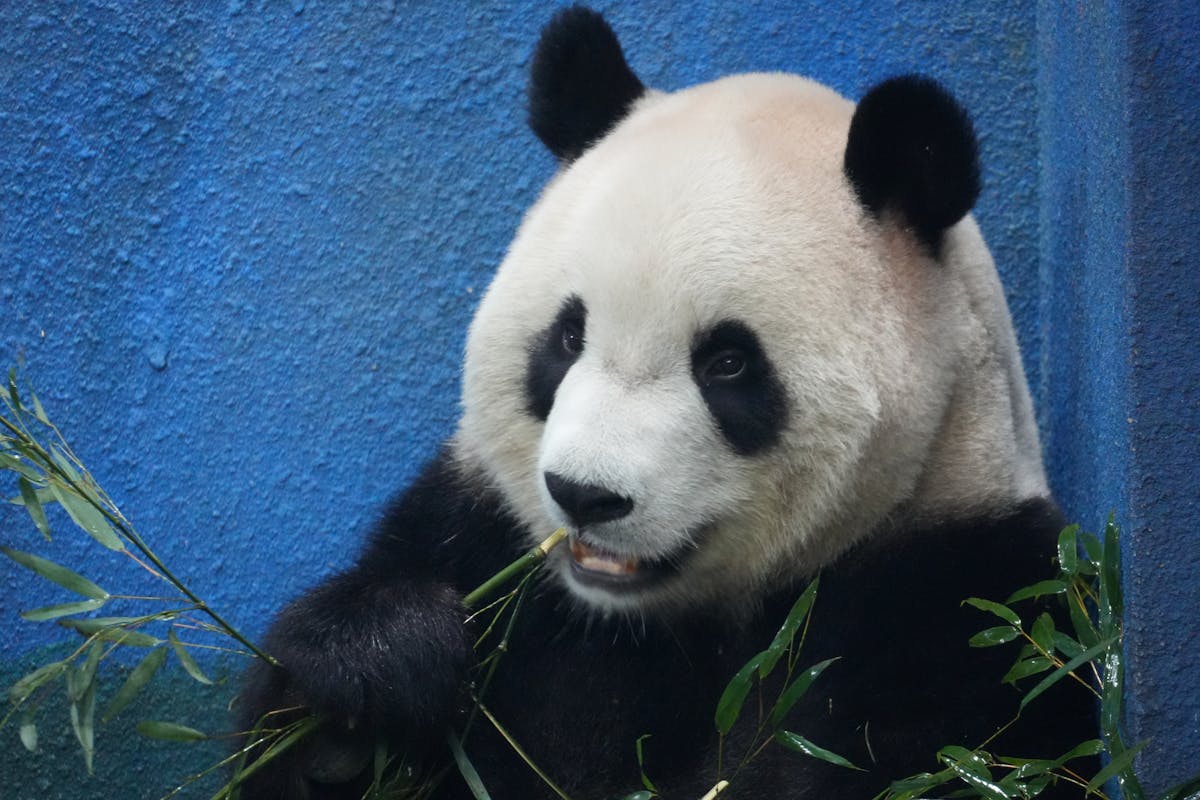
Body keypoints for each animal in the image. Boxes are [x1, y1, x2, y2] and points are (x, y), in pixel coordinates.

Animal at [240, 7, 1096, 799]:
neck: (653, 618)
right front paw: (371, 682)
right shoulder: (482, 542)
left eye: (727, 363)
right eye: (568, 337)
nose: (584, 496)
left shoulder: (965, 603)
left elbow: (951, 750)